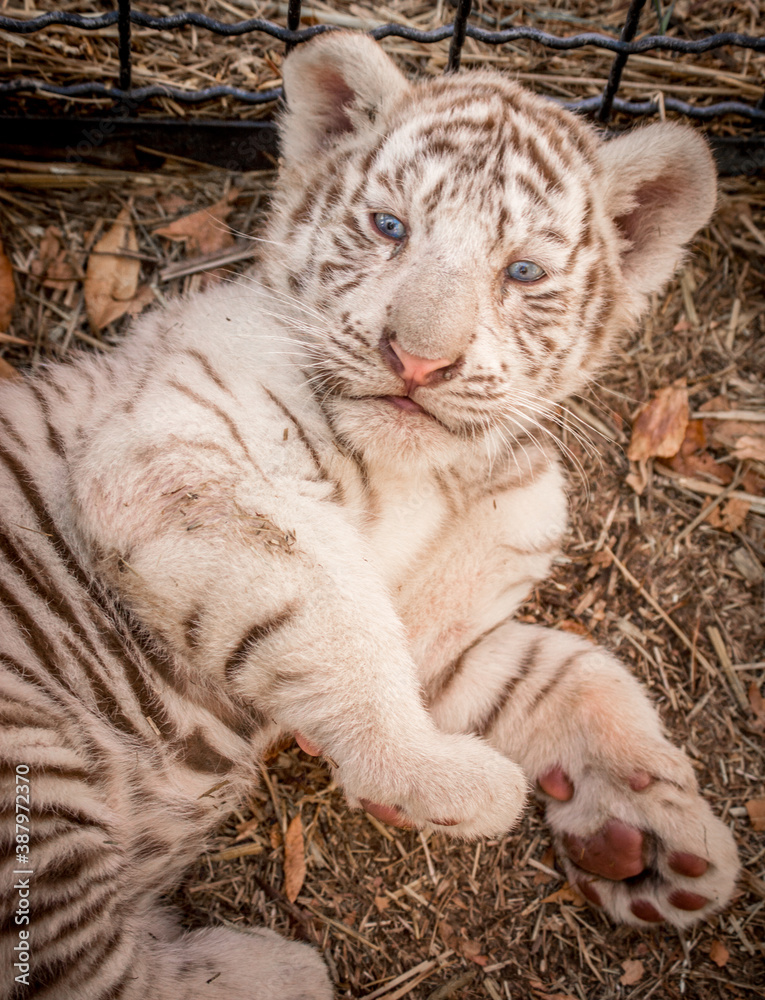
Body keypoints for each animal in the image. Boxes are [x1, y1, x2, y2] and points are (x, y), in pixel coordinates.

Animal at [0, 31, 739, 1000]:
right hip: (36, 771)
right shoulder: (169, 465)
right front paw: (434, 778)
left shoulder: (439, 637)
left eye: (521, 272)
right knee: (81, 967)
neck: (438, 471)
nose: (419, 360)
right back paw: (279, 968)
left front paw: (652, 834)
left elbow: (569, 672)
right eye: (391, 229)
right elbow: (332, 618)